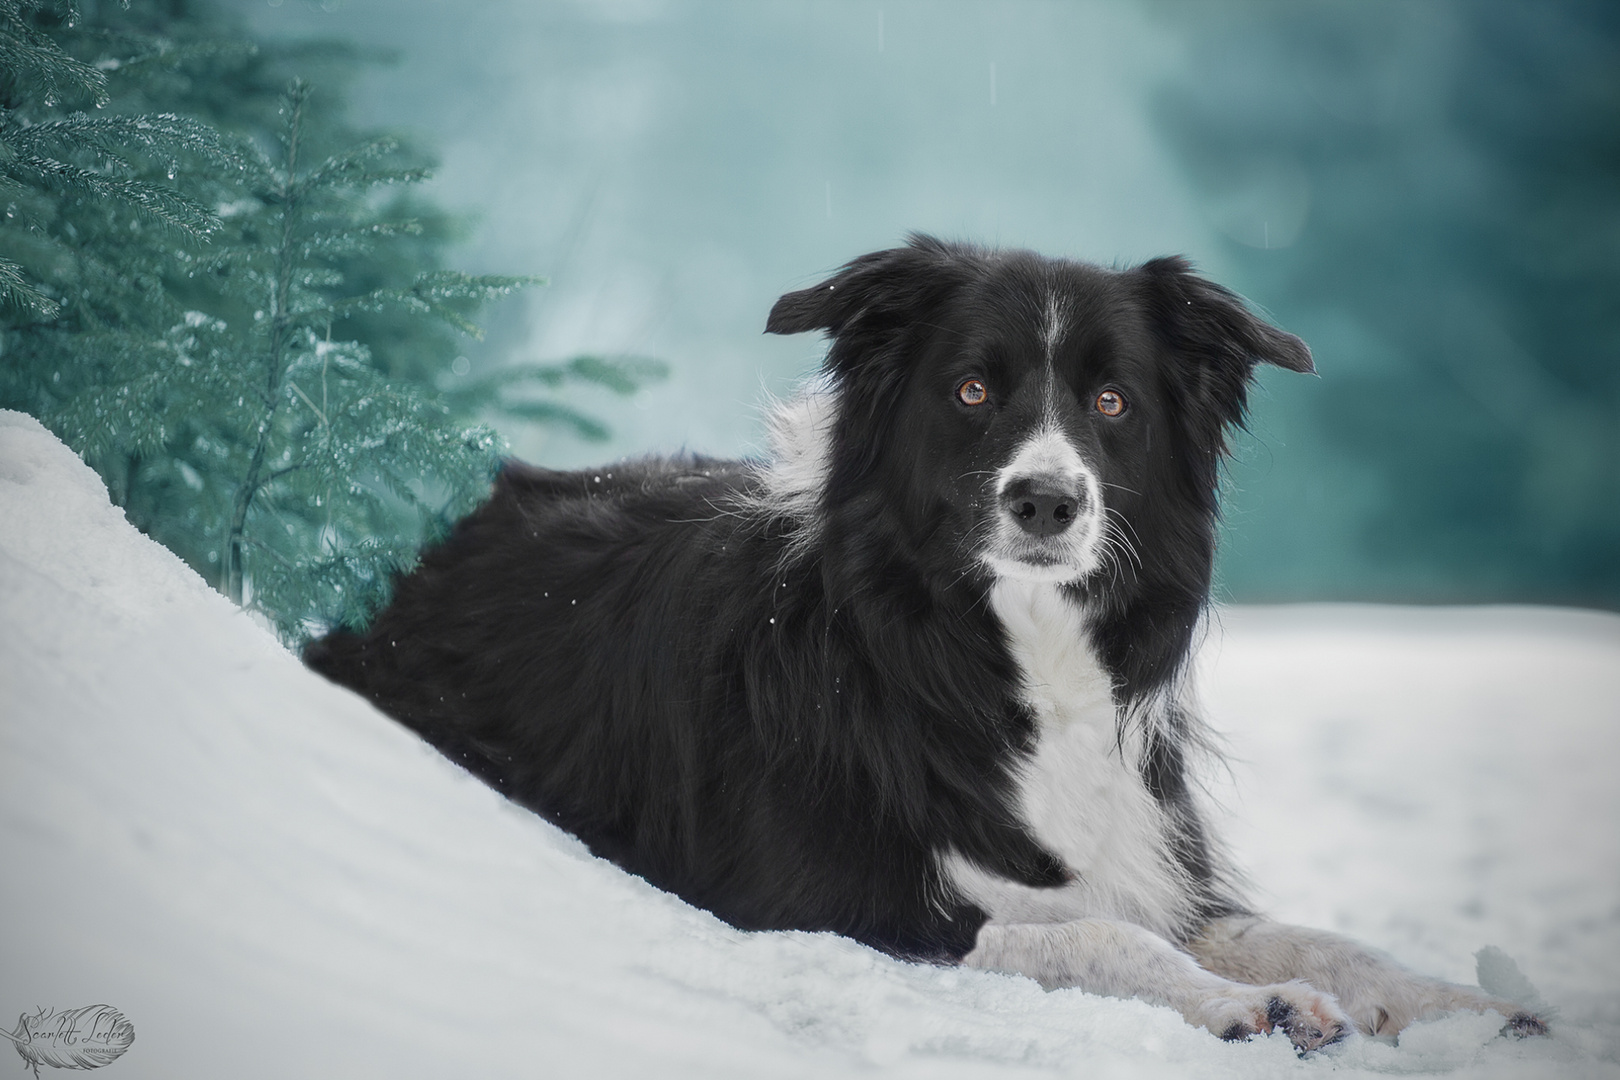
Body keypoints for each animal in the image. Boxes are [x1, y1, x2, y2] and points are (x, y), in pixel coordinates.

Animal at [312, 238, 1542, 1055]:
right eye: (972, 389)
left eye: (1112, 402)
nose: (1046, 501)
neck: (1001, 659)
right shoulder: (833, 901)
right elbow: (1097, 939)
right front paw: (1242, 1003)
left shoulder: (1152, 863)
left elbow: (1308, 938)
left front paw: (1463, 1002)